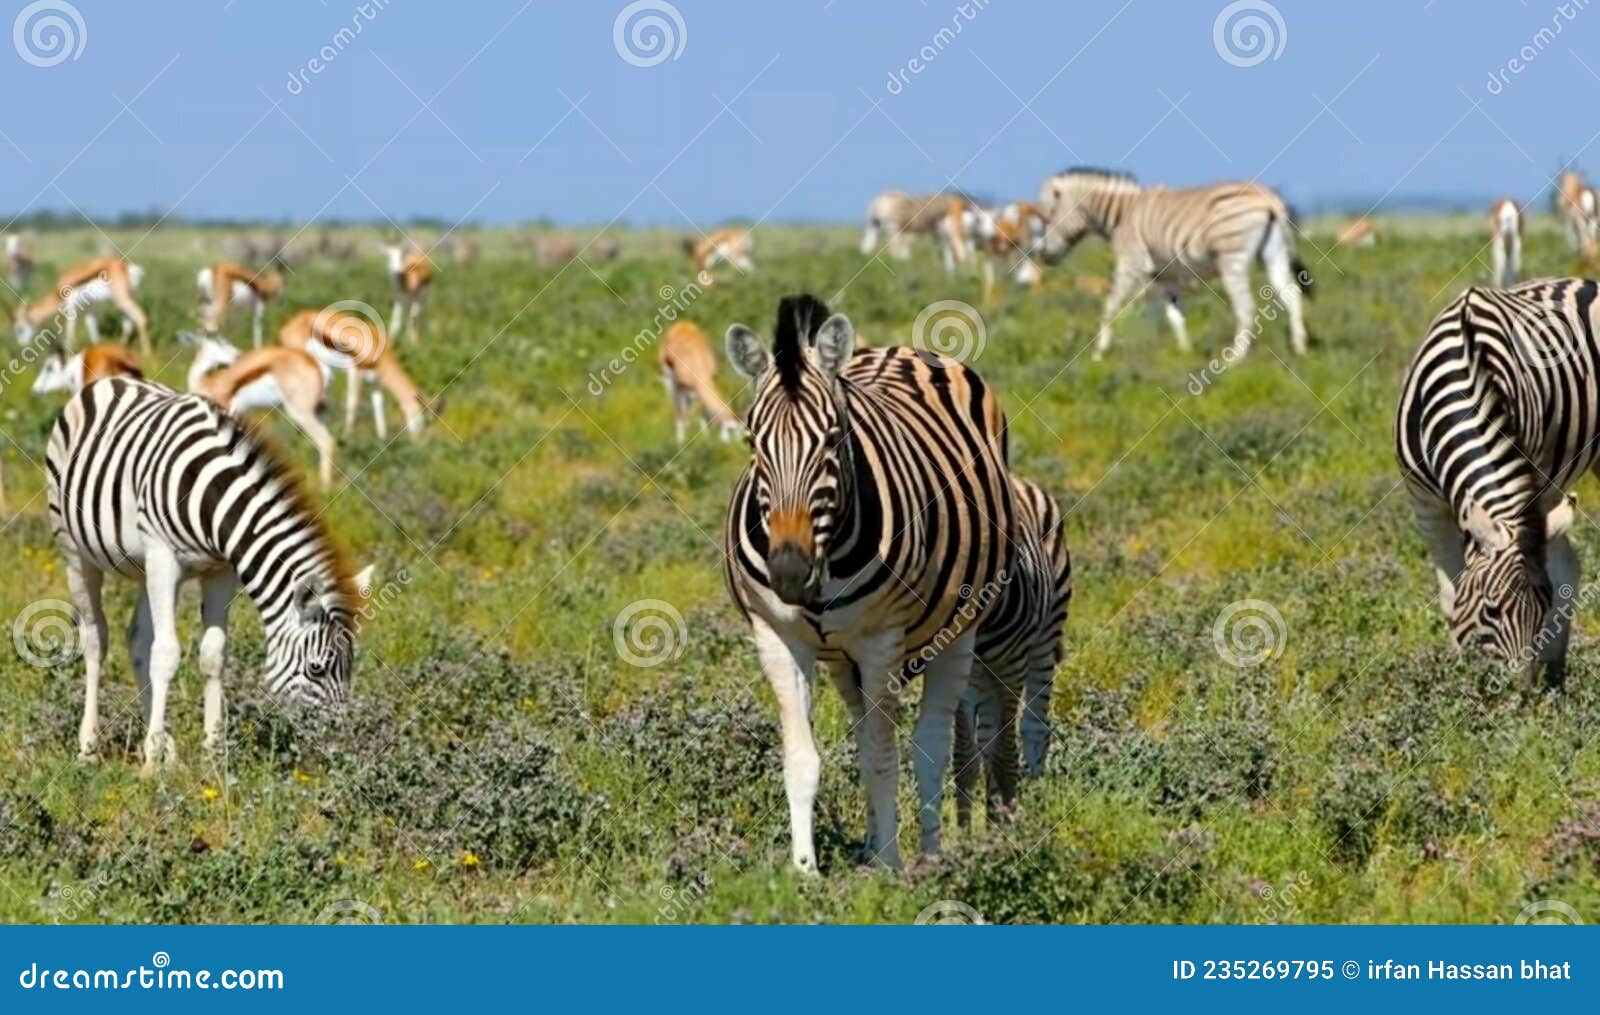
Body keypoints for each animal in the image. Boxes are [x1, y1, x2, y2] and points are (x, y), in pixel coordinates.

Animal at [46, 377, 372, 775]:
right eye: (316, 669)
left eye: (350, 668)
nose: (338, 748)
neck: (214, 500)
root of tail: (110, 381)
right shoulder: (163, 557)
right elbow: (167, 655)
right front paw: (150, 763)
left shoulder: (220, 571)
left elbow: (213, 656)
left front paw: (213, 752)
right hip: (75, 552)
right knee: (96, 639)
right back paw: (90, 748)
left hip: (141, 567)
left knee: (137, 641)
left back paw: (167, 746)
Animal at [723, 294, 1015, 872]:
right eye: (753, 441)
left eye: (833, 439)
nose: (788, 573)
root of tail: (902, 349)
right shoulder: (776, 637)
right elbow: (803, 759)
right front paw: (804, 871)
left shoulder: (881, 642)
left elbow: (884, 758)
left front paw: (888, 868)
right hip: (842, 659)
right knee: (868, 736)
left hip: (958, 630)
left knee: (929, 744)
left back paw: (928, 855)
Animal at [953, 473, 1072, 829]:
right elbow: (965, 755)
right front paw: (963, 834)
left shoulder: (1012, 665)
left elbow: (1004, 751)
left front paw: (1005, 827)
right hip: (982, 677)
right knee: (986, 739)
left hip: (1045, 640)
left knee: (1034, 728)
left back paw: (1034, 797)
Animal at [1037, 168, 1313, 360]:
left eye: (1048, 217)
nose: (1044, 256)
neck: (1121, 217)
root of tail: (1268, 198)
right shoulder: (1165, 275)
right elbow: (1175, 316)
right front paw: (1184, 352)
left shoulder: (1131, 265)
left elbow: (1111, 305)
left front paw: (1098, 353)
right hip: (1274, 253)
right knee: (1291, 295)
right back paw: (1299, 348)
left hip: (1231, 259)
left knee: (1245, 306)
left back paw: (1235, 358)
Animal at [1395, 278, 1600, 686]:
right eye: (1490, 610)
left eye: (1544, 605)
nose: (1521, 693)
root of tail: (1583, 281)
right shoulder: (1425, 505)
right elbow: (1450, 594)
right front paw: (1457, 678)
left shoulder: (1530, 487)